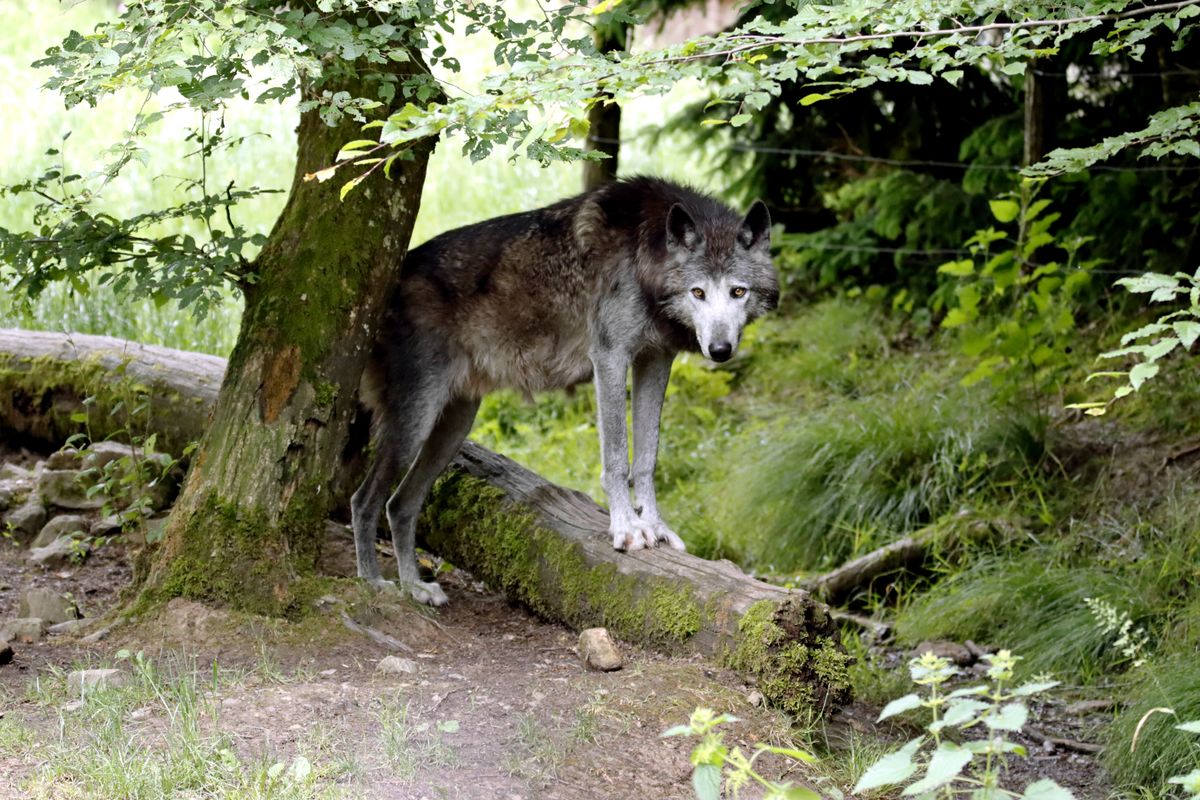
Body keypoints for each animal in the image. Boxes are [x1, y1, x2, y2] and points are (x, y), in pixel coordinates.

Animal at [350, 176, 779, 606]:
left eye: (738, 292)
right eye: (698, 293)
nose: (720, 350)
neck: (644, 256)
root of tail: (393, 280)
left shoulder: (656, 360)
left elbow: (646, 459)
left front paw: (655, 526)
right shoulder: (609, 357)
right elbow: (617, 458)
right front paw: (626, 529)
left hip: (454, 428)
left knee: (400, 505)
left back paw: (414, 588)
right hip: (415, 426)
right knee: (365, 500)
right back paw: (373, 583)